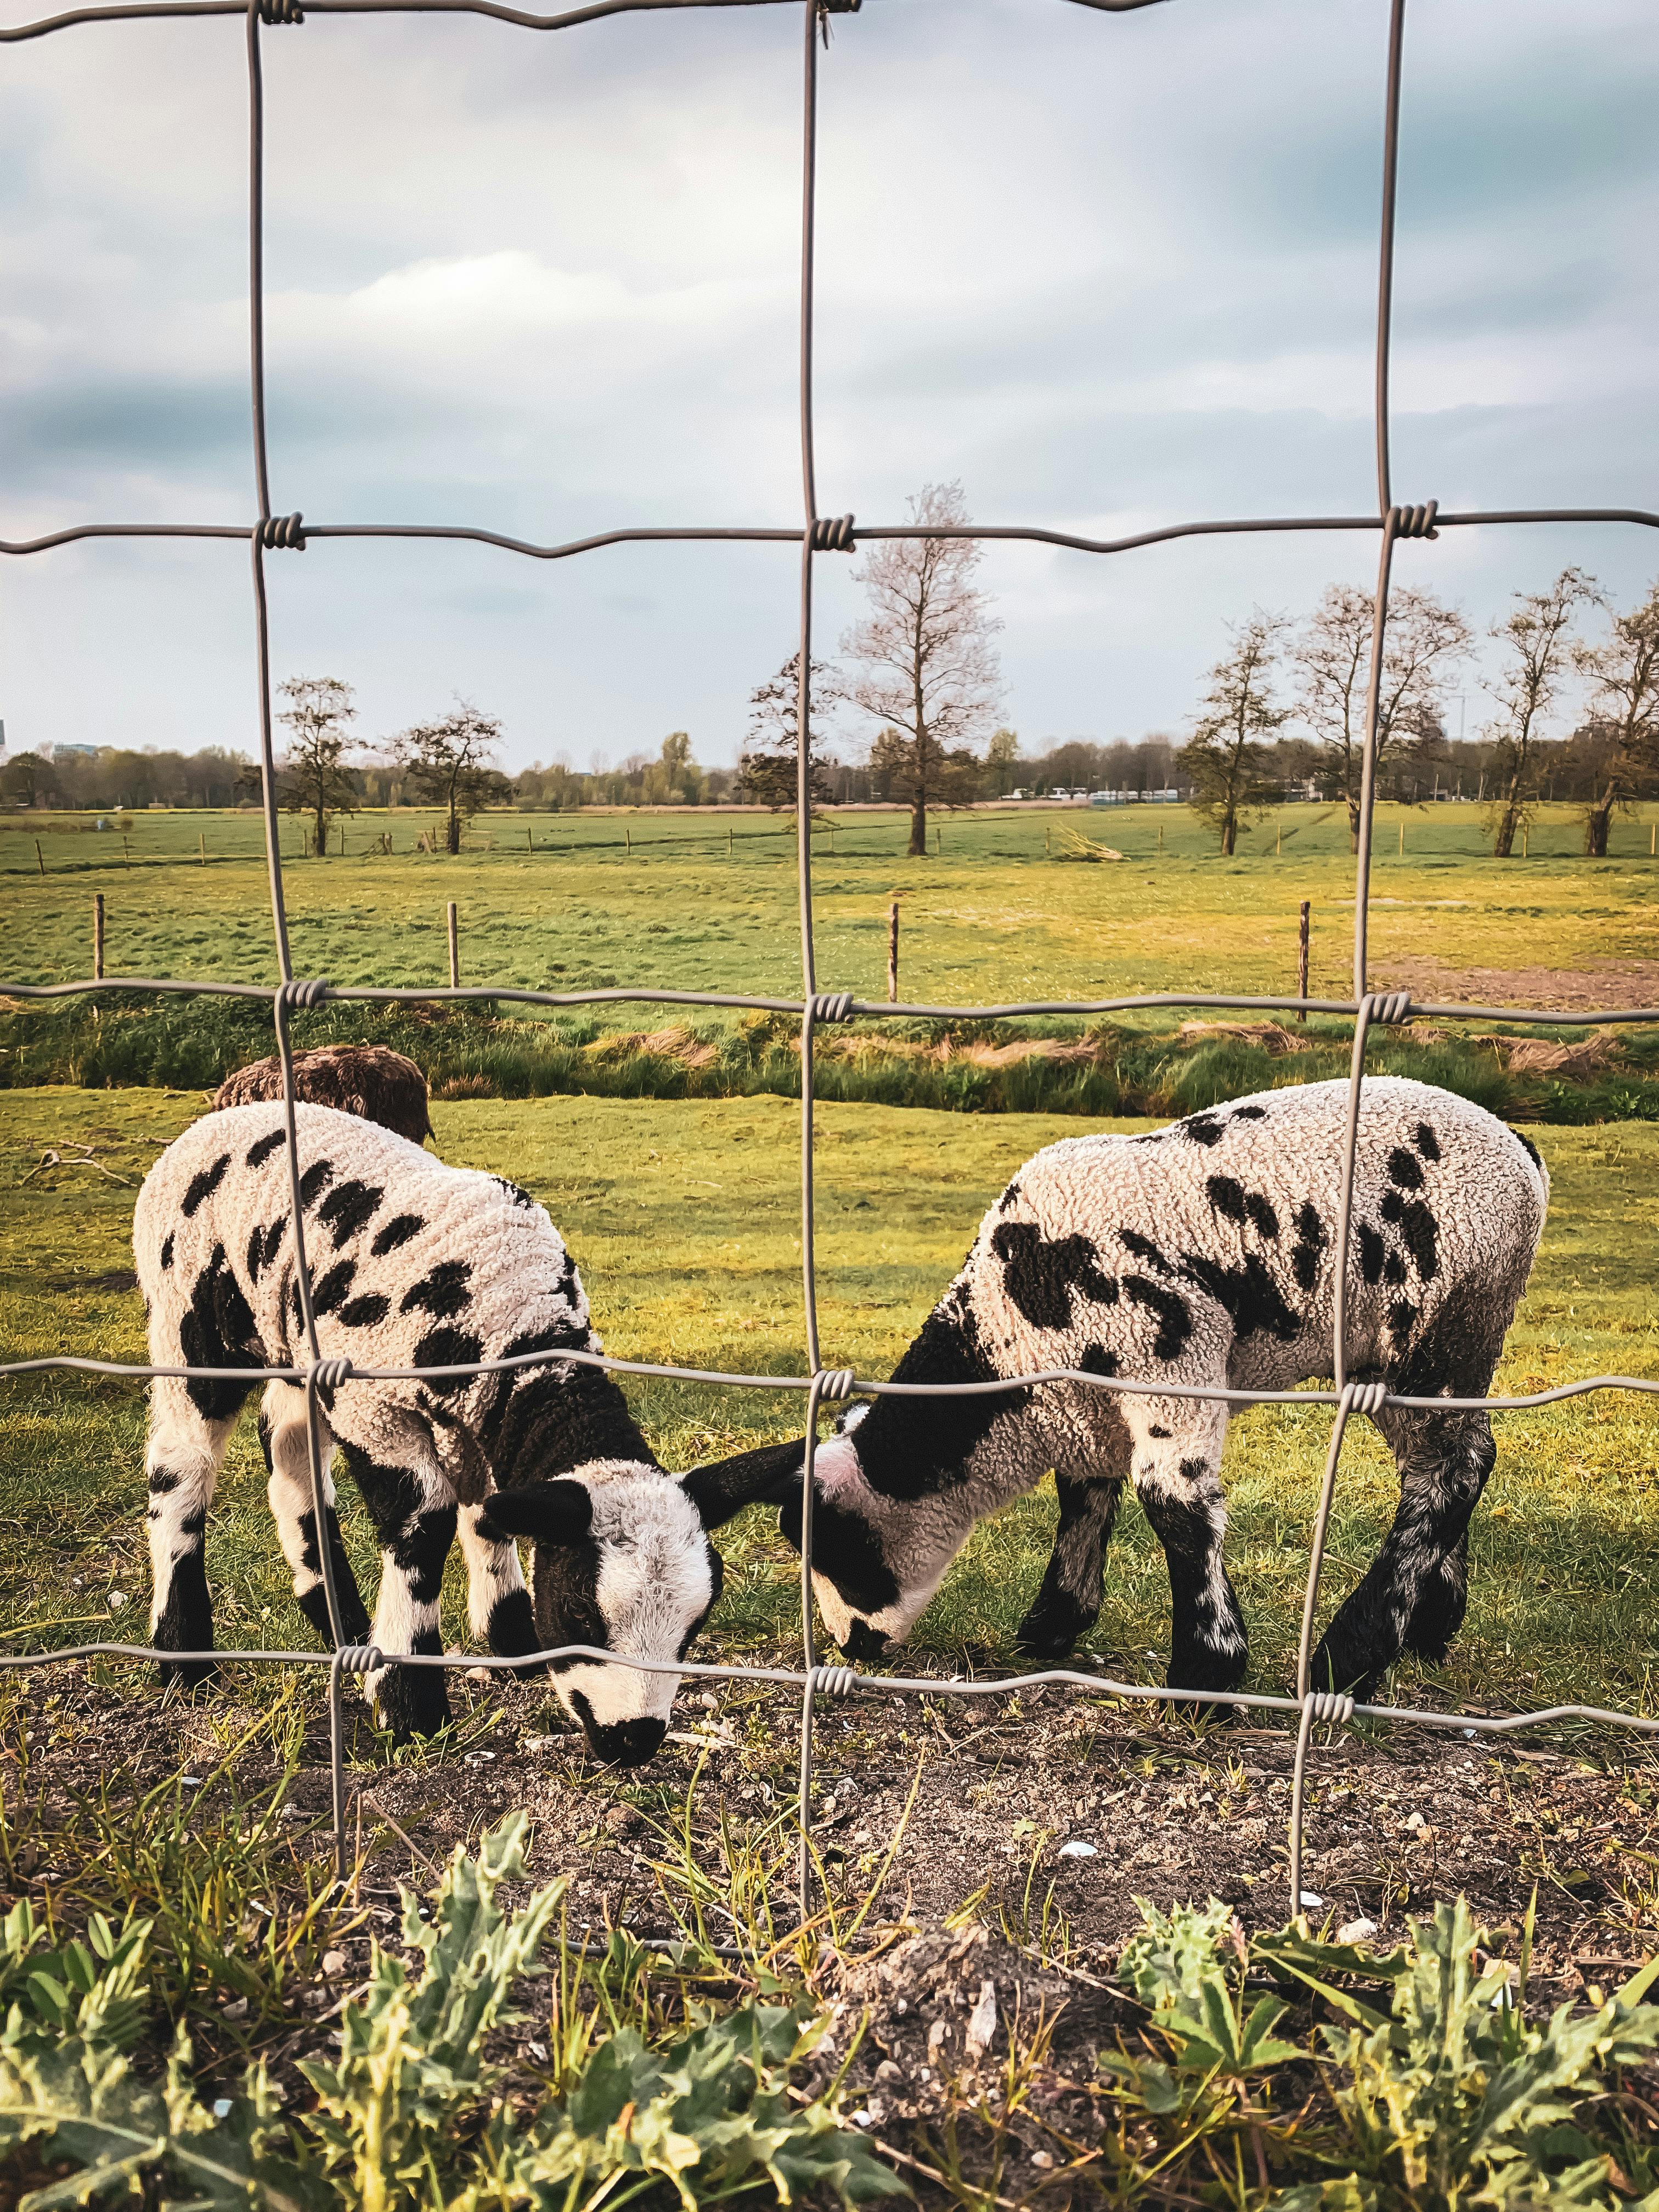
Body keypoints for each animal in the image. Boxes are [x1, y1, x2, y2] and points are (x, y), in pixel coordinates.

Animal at [131, 1103, 783, 1761]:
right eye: (580, 1612)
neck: (511, 1313)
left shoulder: (479, 1421)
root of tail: (221, 1119)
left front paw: (514, 1642)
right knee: (181, 1464)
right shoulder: (374, 1406)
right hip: (187, 1315)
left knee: (289, 1456)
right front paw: (408, 1704)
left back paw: (340, 1621)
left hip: (293, 1342)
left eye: (696, 1624)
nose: (633, 1742)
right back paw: (184, 1655)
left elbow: (490, 1512)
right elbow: (424, 1523)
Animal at [700, 1077, 1548, 1703]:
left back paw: (1354, 1653)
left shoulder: (1169, 1353)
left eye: (833, 1545)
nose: (852, 1646)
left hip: (1438, 1323)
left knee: (1447, 1469)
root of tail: (1521, 1149)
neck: (1011, 1338)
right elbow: (1085, 1493)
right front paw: (1055, 1622)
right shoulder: (1086, 1395)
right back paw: (1431, 1623)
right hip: (1442, 1338)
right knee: (1461, 1457)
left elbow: (1174, 1508)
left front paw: (1206, 1669)